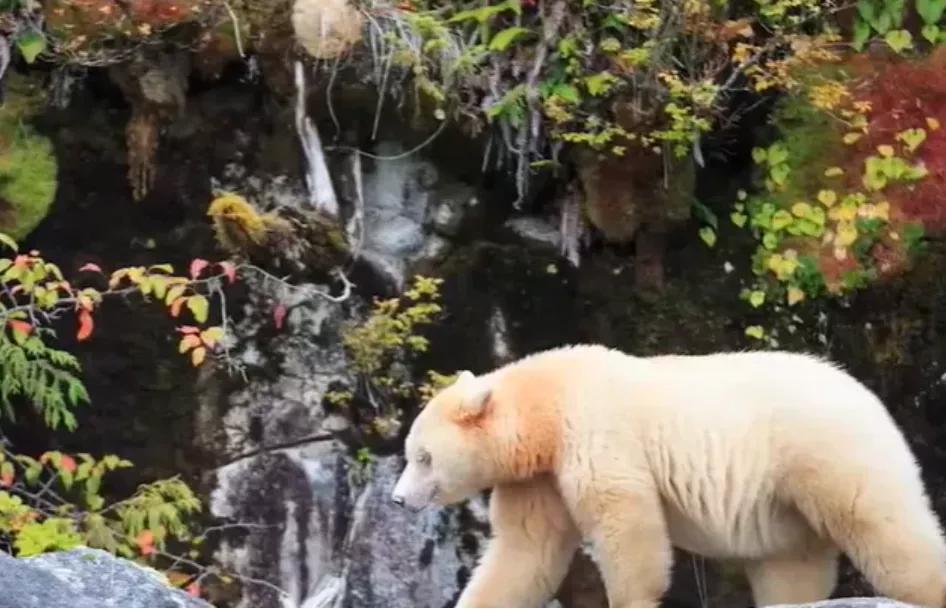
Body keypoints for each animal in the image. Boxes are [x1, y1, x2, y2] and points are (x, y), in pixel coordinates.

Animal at [391, 345, 946, 608]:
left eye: (422, 456)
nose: (397, 500)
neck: (544, 406)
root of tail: (867, 394)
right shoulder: (536, 479)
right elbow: (525, 552)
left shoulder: (595, 430)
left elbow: (624, 519)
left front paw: (629, 600)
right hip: (787, 507)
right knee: (791, 570)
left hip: (828, 451)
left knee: (887, 530)